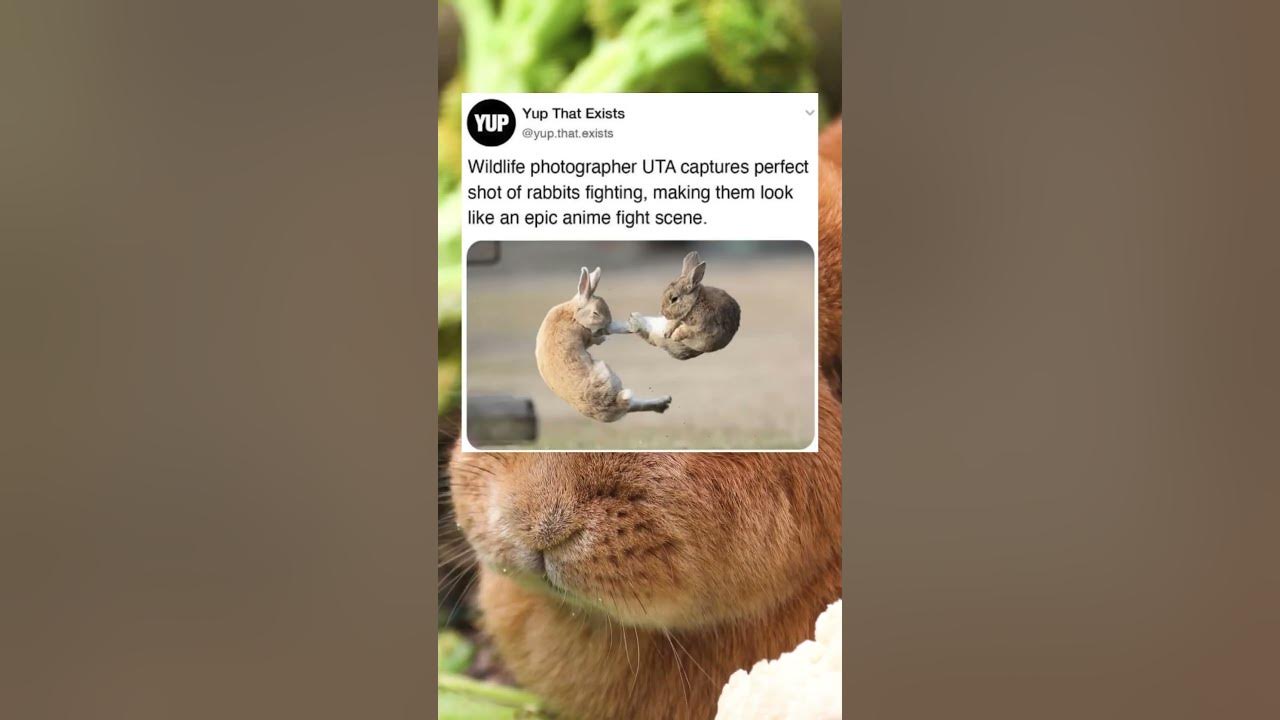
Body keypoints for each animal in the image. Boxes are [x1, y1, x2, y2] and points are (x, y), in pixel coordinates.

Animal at [535, 266, 672, 422]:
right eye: (595, 313)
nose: (607, 323)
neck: (574, 314)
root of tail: (610, 404)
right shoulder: (588, 334)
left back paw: (664, 402)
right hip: (606, 371)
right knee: (631, 402)